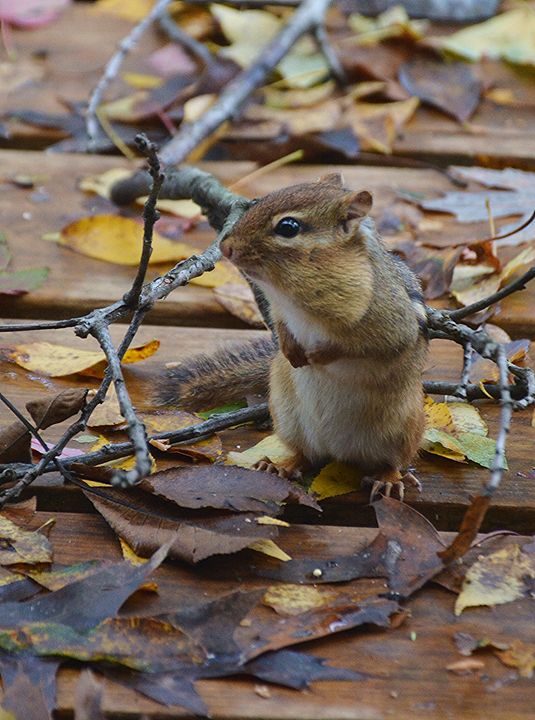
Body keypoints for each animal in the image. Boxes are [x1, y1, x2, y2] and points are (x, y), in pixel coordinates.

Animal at [157, 173, 428, 500]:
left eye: (288, 227)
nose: (226, 247)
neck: (294, 294)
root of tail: (341, 453)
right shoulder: (278, 310)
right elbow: (282, 328)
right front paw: (292, 353)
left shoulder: (389, 322)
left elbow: (364, 346)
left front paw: (318, 355)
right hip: (288, 419)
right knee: (305, 455)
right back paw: (281, 466)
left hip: (403, 428)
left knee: (393, 461)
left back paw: (388, 478)